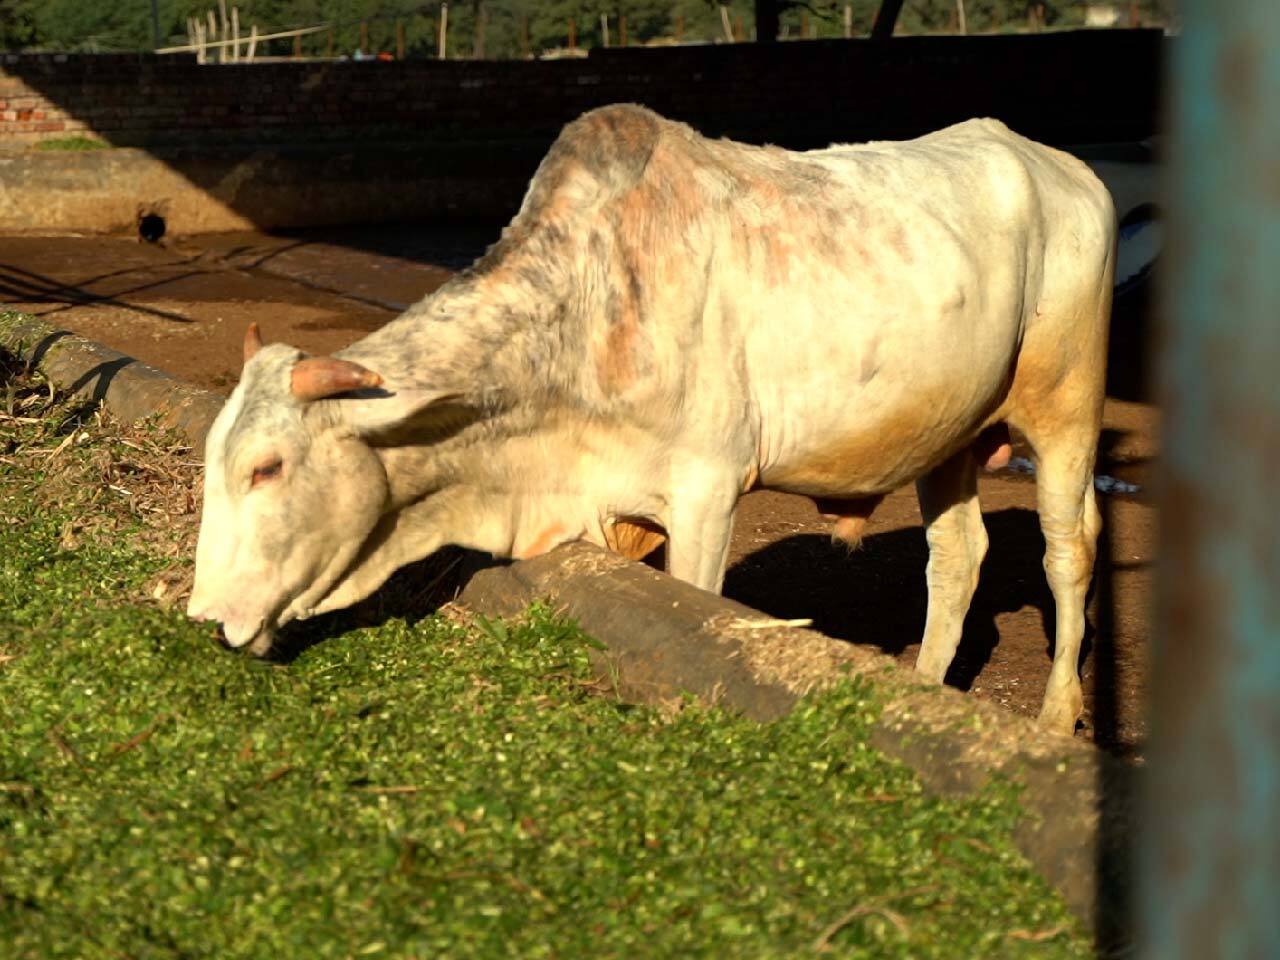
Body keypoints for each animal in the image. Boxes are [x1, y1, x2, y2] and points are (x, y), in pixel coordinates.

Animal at [187, 104, 1115, 737]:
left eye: (268, 467)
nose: (201, 615)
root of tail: (1059, 164)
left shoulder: (708, 490)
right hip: (950, 438)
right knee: (957, 559)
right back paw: (923, 686)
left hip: (1066, 406)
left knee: (1068, 551)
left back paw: (1055, 713)